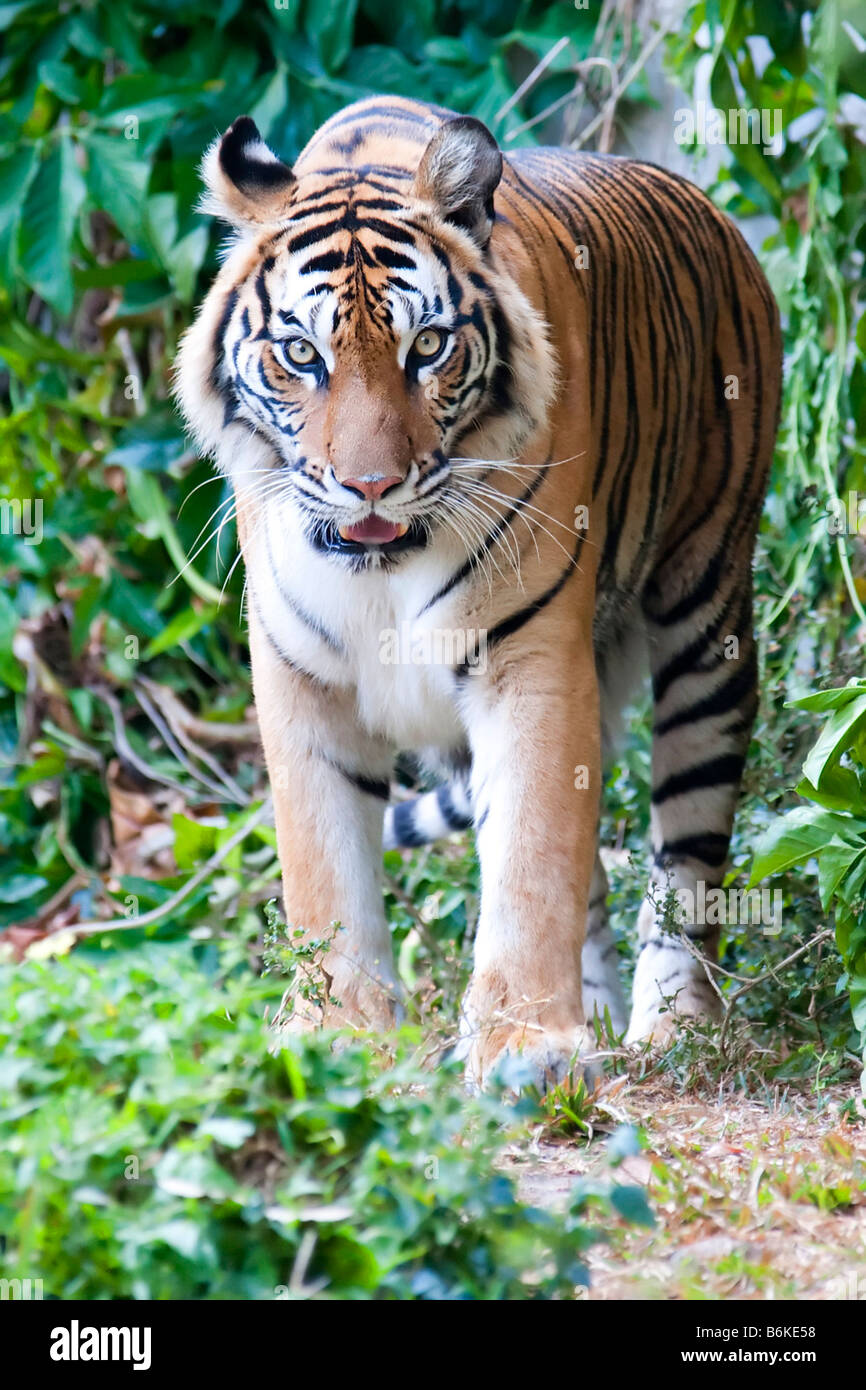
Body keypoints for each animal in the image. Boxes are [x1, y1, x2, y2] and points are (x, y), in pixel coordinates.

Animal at [176, 95, 782, 1089]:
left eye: (427, 347)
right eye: (300, 354)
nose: (370, 487)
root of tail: (708, 206)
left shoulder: (530, 657)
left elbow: (533, 854)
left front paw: (523, 1048)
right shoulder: (300, 674)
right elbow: (324, 866)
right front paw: (338, 1036)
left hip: (708, 616)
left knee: (687, 854)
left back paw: (673, 1025)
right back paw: (602, 1013)